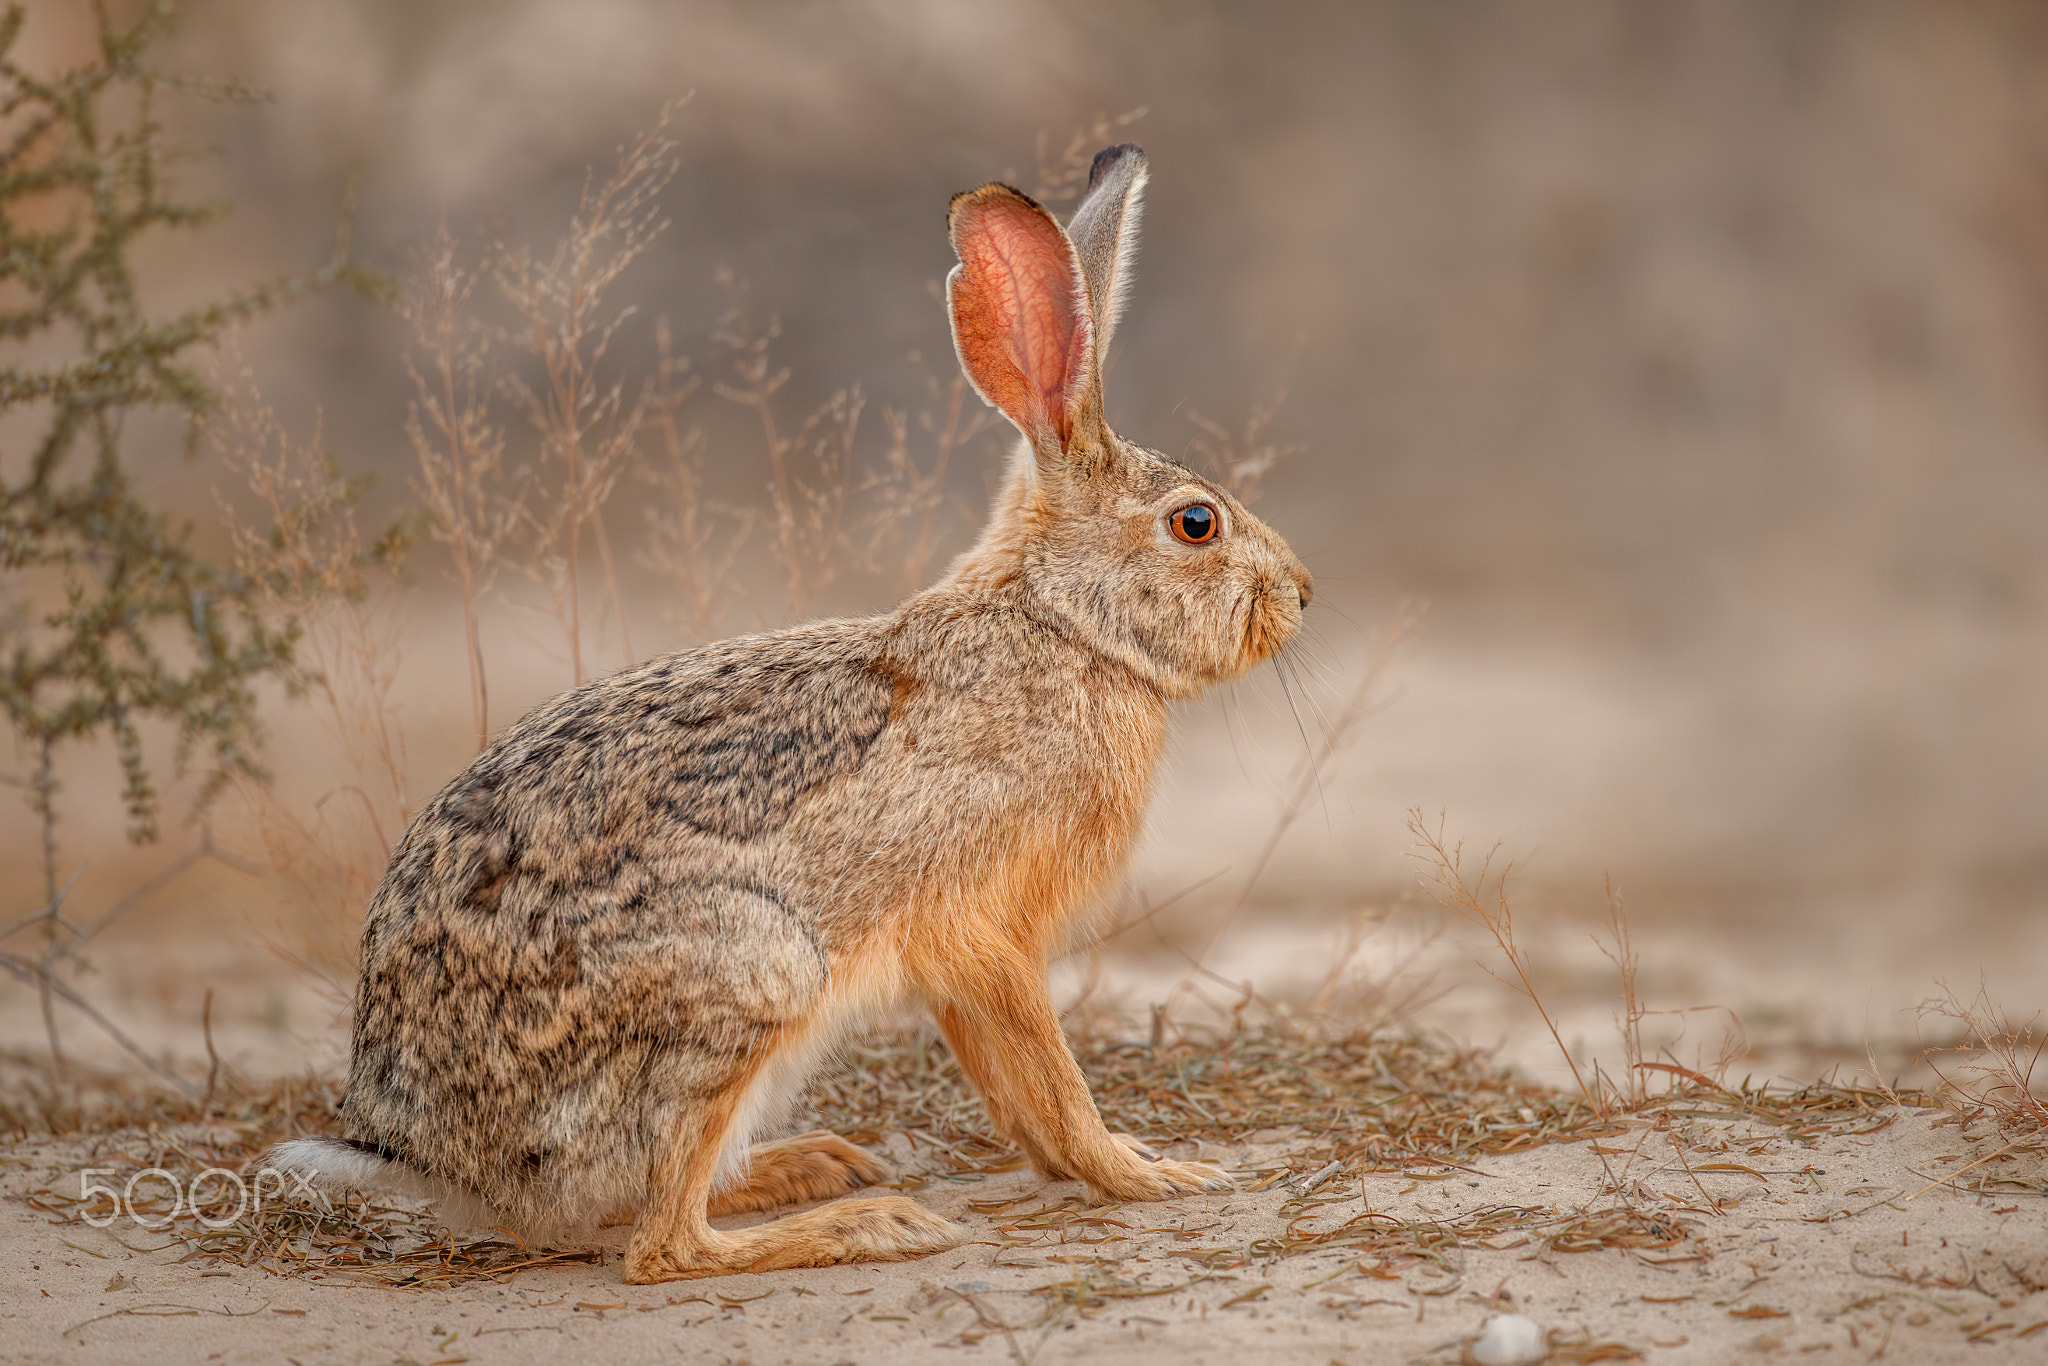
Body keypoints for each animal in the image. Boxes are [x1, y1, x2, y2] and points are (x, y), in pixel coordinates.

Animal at [262, 143, 1313, 1284]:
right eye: (1195, 524)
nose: (1303, 593)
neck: (1063, 623)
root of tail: (419, 1149)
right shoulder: (982, 934)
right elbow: (1049, 1075)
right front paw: (1147, 1173)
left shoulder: (967, 962)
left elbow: (1012, 1091)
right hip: (753, 969)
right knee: (662, 1246)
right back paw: (869, 1222)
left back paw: (822, 1164)